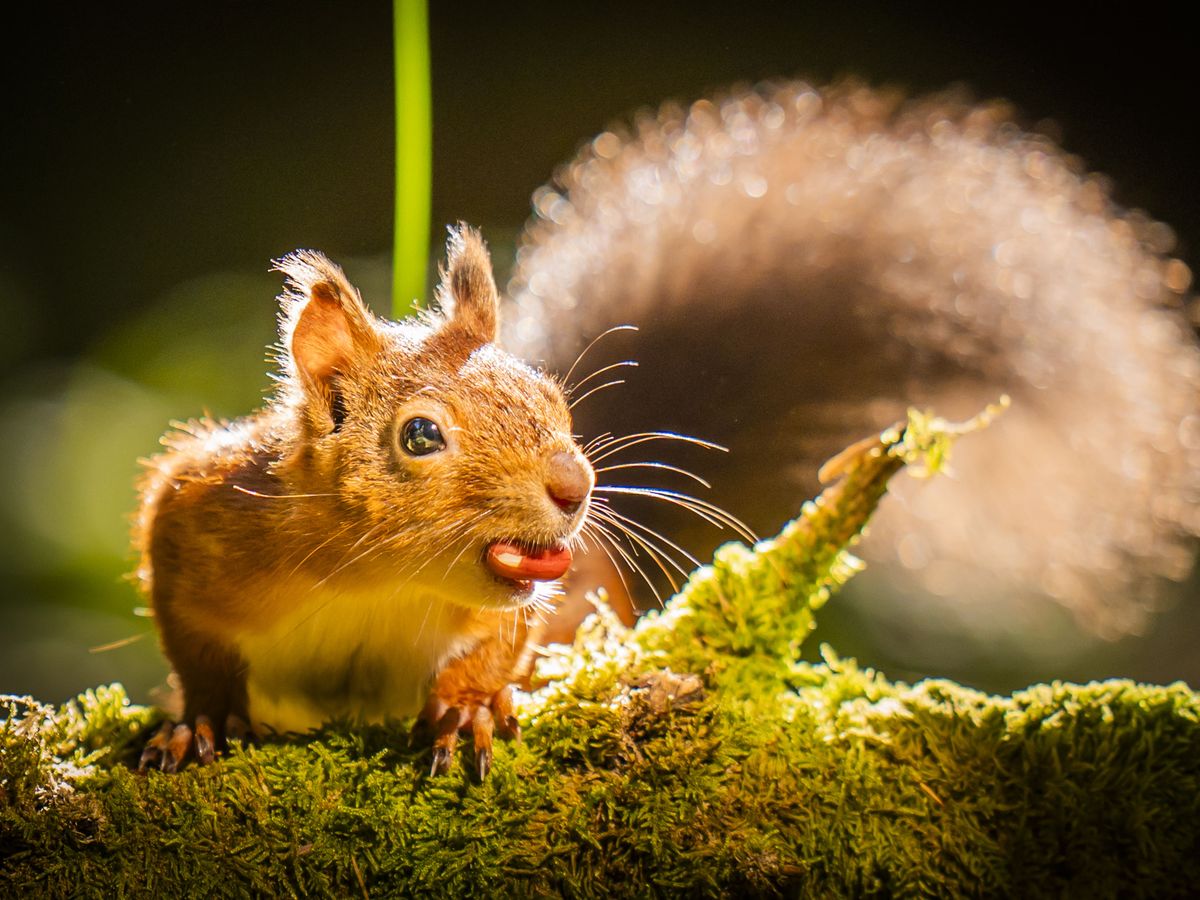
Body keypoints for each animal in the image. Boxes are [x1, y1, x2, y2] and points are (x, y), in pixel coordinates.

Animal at [135, 80, 1200, 774]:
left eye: (555, 401)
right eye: (421, 437)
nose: (575, 489)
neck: (376, 582)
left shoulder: (514, 606)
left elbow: (497, 647)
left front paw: (471, 709)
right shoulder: (197, 520)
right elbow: (193, 642)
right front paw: (196, 722)